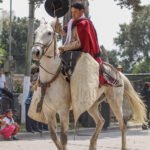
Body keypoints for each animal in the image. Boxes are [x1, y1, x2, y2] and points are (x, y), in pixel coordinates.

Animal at [31, 20, 146, 150]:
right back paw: (92, 144)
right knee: (101, 121)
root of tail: (118, 73)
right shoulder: (48, 111)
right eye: (35, 32)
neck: (51, 78)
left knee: (122, 125)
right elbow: (54, 137)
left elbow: (63, 138)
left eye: (49, 33)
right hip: (92, 105)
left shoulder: (63, 111)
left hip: (115, 101)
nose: (35, 52)